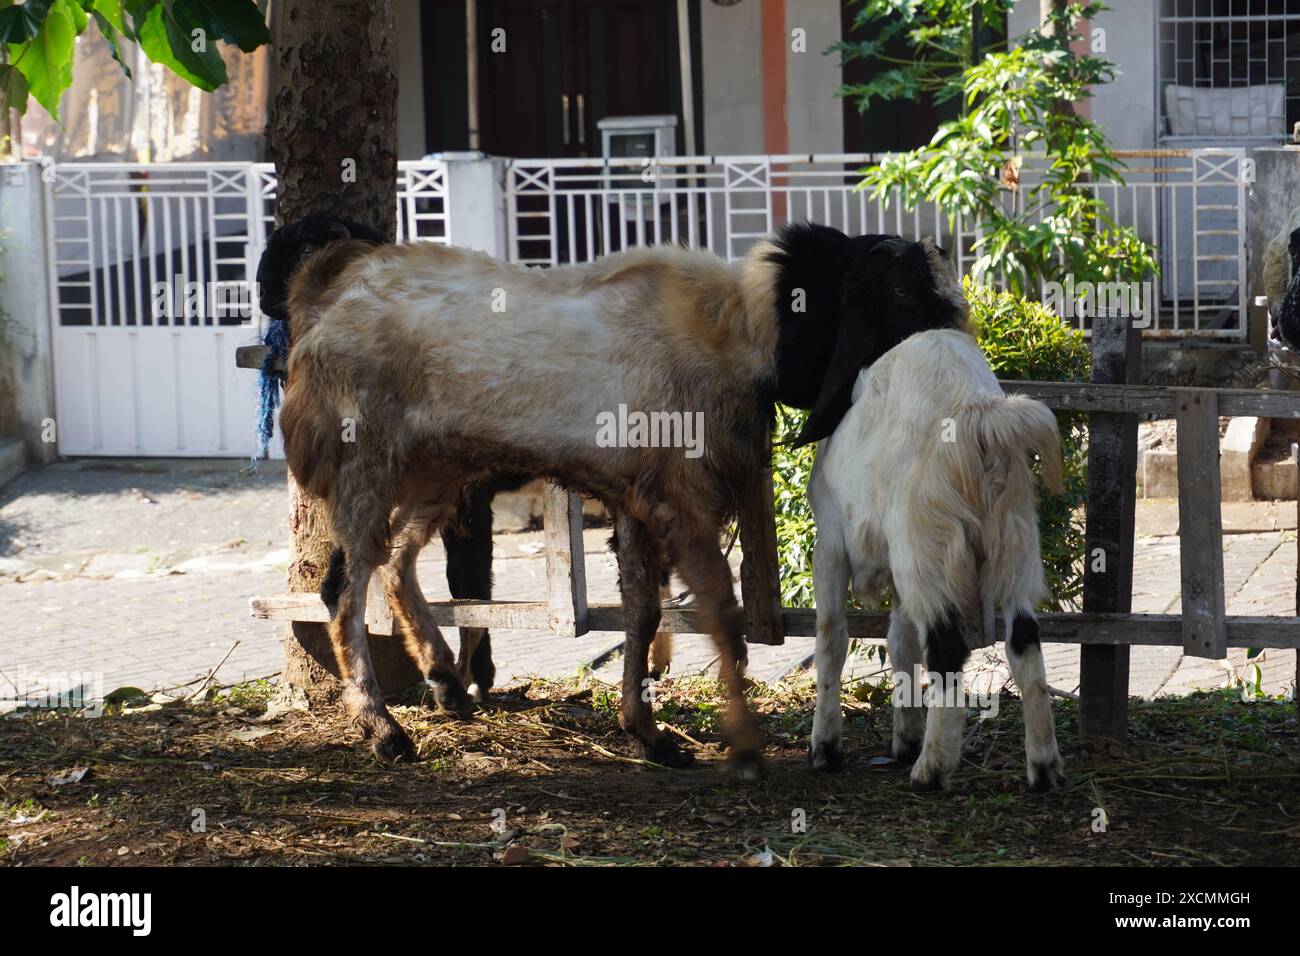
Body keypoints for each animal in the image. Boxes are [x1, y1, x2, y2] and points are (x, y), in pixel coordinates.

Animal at [270, 218, 968, 772]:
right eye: (901, 289)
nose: (958, 345)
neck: (740, 324)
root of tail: (328, 293)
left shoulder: (637, 500)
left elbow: (644, 612)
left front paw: (649, 735)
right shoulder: (679, 500)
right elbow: (721, 612)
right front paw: (742, 744)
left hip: (434, 469)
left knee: (396, 561)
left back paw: (444, 680)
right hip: (370, 464)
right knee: (343, 588)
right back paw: (383, 729)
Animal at [807, 327, 1067, 791]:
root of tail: (977, 414)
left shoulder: (832, 543)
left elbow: (831, 637)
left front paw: (825, 747)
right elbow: (901, 640)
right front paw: (904, 738)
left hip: (926, 543)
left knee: (948, 651)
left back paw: (930, 769)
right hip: (1013, 539)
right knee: (1025, 644)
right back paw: (1043, 767)